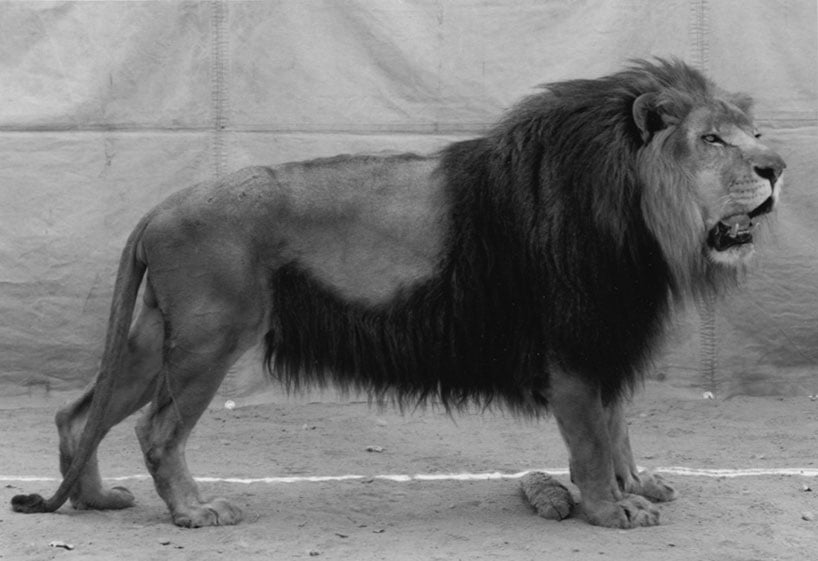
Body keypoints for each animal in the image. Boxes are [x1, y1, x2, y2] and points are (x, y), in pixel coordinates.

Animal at [12, 59, 785, 529]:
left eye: (755, 132)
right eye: (713, 140)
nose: (777, 166)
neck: (637, 214)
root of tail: (160, 206)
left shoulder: (604, 335)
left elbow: (619, 425)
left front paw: (638, 485)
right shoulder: (574, 345)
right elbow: (593, 437)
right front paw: (608, 508)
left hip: (157, 337)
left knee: (78, 415)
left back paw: (94, 498)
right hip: (209, 337)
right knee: (157, 431)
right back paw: (196, 513)